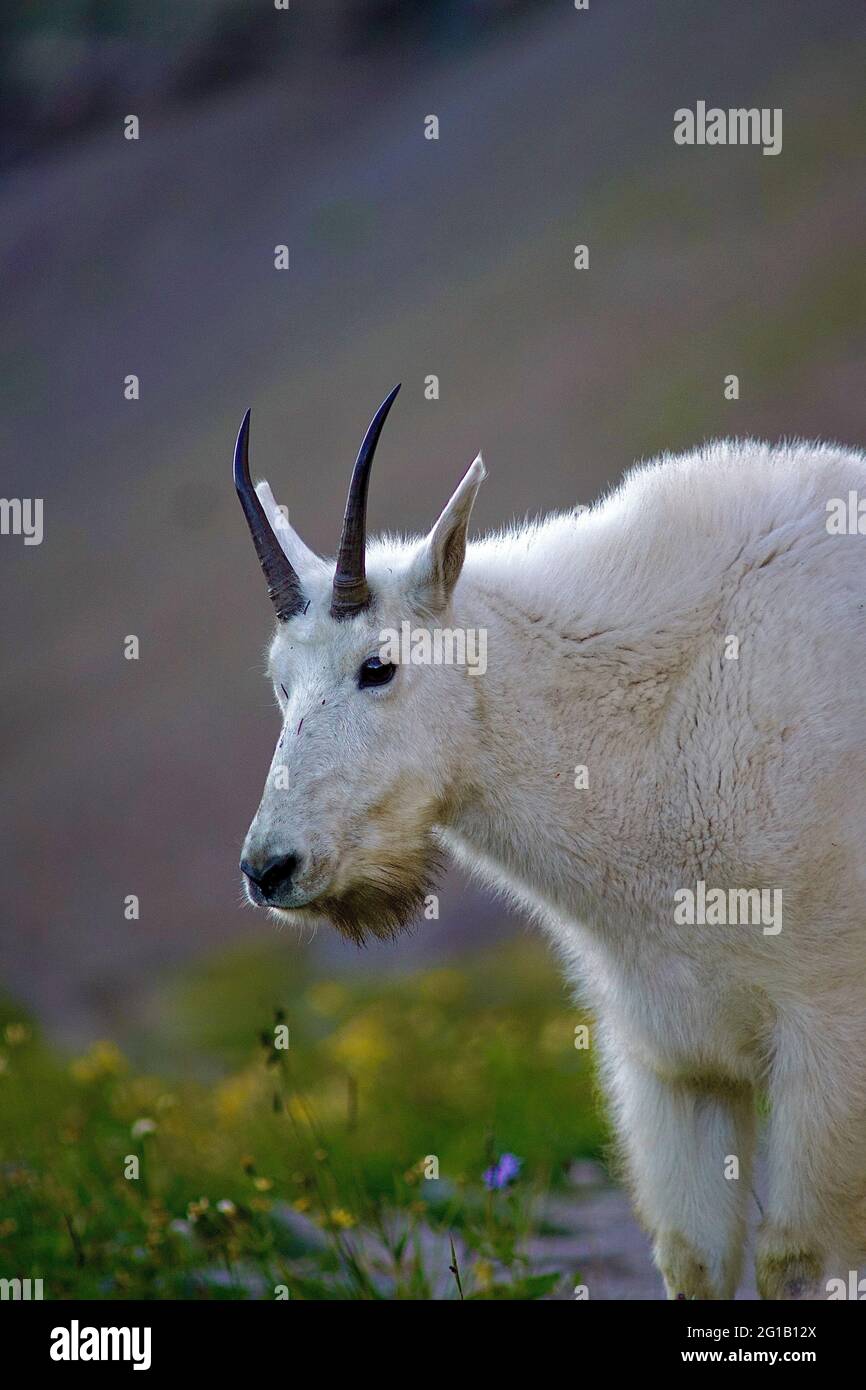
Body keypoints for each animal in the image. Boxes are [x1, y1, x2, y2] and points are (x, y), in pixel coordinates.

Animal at [234, 385, 866, 1300]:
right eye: (281, 684)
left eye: (378, 667)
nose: (269, 868)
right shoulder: (672, 1060)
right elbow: (695, 1257)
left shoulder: (829, 1036)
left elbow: (794, 1258)